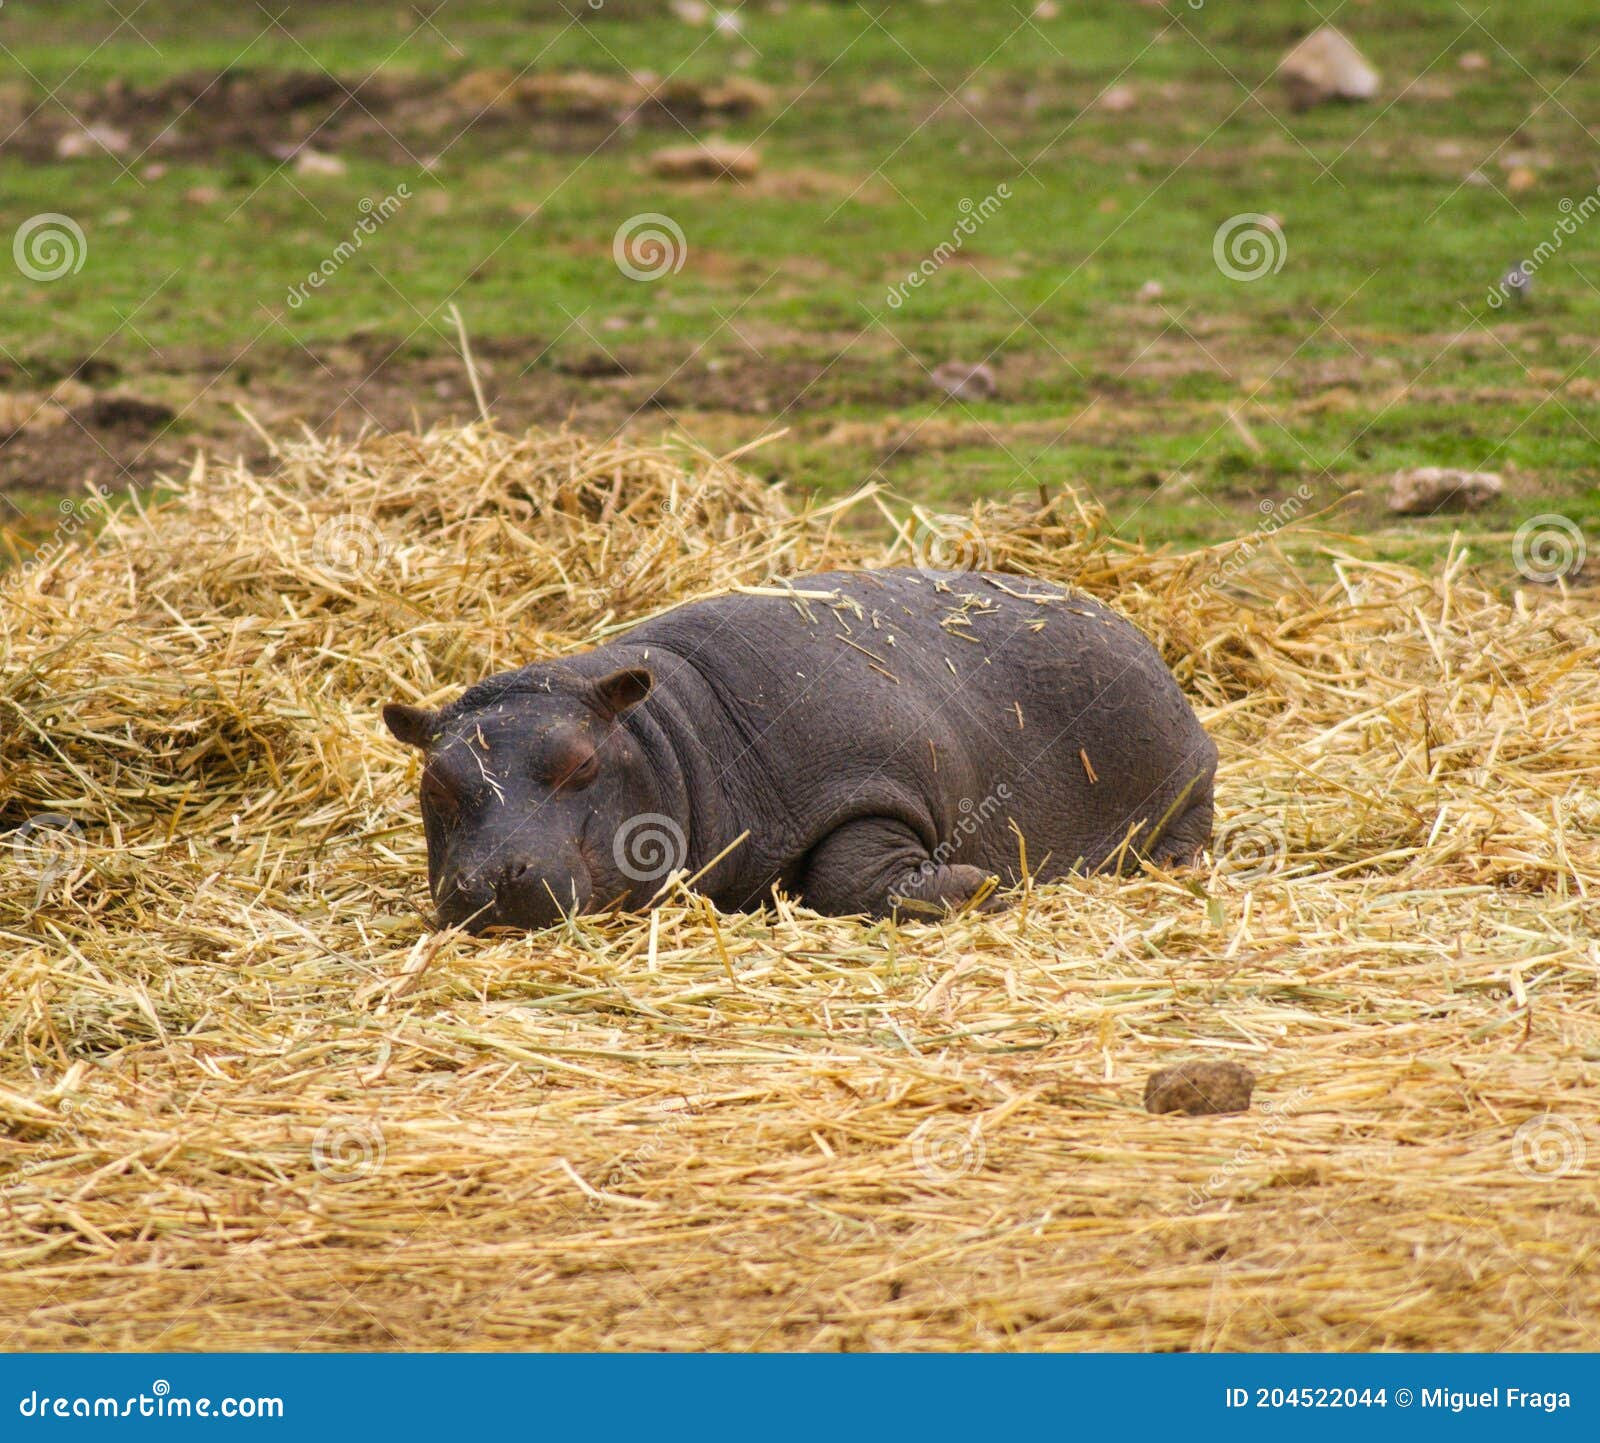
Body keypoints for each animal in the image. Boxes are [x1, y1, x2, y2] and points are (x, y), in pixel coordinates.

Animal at [383, 569, 1216, 931]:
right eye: (435, 784)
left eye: (581, 762)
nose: (489, 878)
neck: (676, 738)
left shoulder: (868, 772)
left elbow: (847, 872)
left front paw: (978, 881)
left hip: (1184, 777)